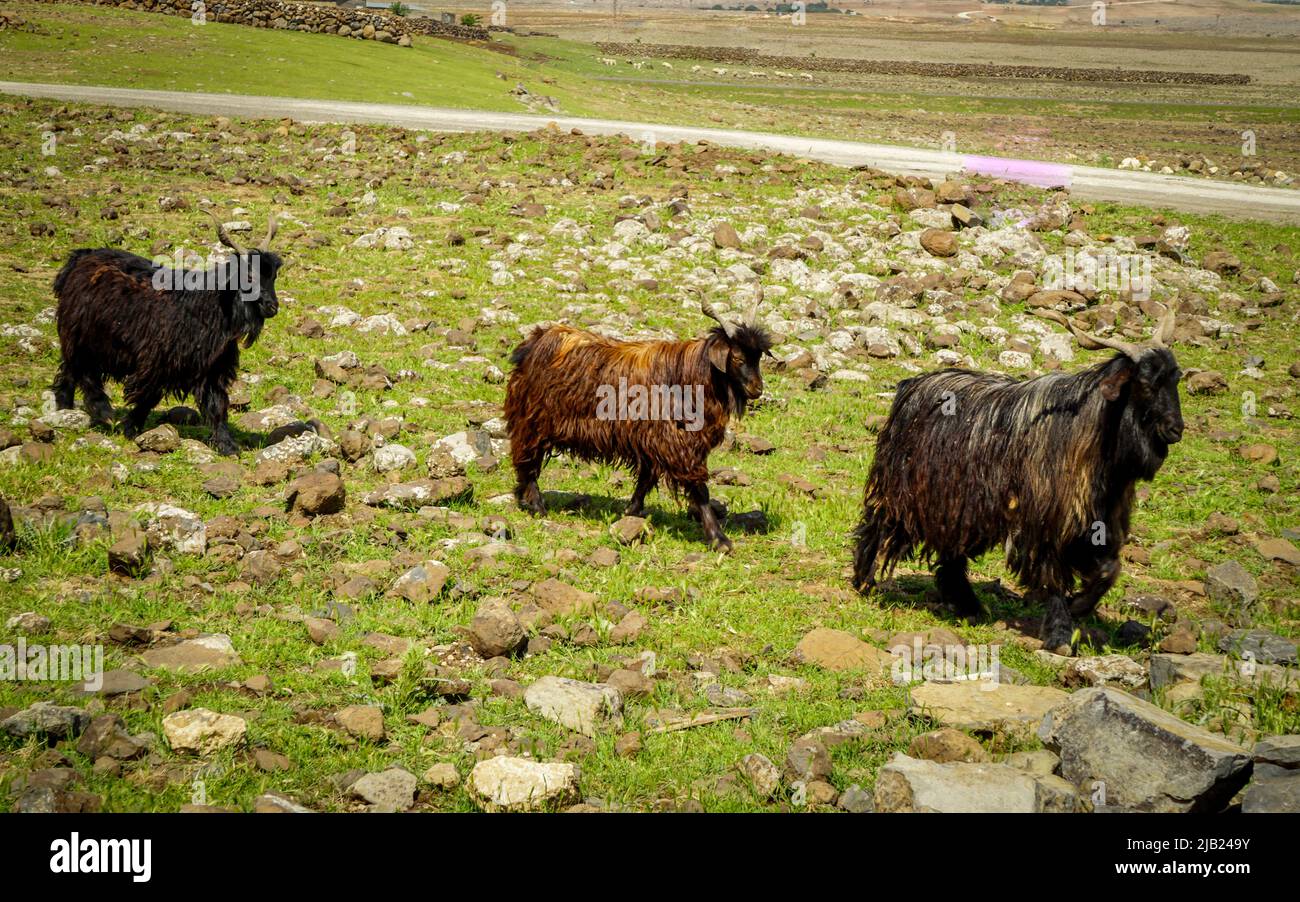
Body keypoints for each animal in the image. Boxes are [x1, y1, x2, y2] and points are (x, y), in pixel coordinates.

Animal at [52, 212, 281, 456]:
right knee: (84, 372)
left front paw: (228, 446)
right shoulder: (157, 361)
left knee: (69, 372)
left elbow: (217, 406)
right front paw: (130, 428)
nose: (272, 307)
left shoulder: (212, 369)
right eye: (249, 277)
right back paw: (102, 412)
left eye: (273, 276)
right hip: (83, 337)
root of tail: (80, 258)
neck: (211, 306)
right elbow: (149, 397)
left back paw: (65, 410)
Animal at [504, 298, 774, 551]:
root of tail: (534, 341)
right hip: (532, 420)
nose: (756, 389)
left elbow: (646, 479)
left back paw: (522, 497)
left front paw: (631, 511)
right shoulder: (677, 444)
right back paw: (537, 506)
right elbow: (699, 490)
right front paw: (719, 539)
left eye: (758, 356)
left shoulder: (652, 440)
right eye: (737, 357)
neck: (694, 376)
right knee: (527, 459)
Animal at [851, 307, 1183, 653]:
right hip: (902, 491)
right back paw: (864, 579)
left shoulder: (1100, 523)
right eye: (1144, 382)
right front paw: (1061, 633)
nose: (1176, 429)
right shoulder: (1049, 524)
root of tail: (912, 386)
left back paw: (968, 605)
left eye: (1176, 377)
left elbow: (1109, 570)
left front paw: (1079, 605)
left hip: (956, 507)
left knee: (951, 555)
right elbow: (1054, 578)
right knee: (877, 524)